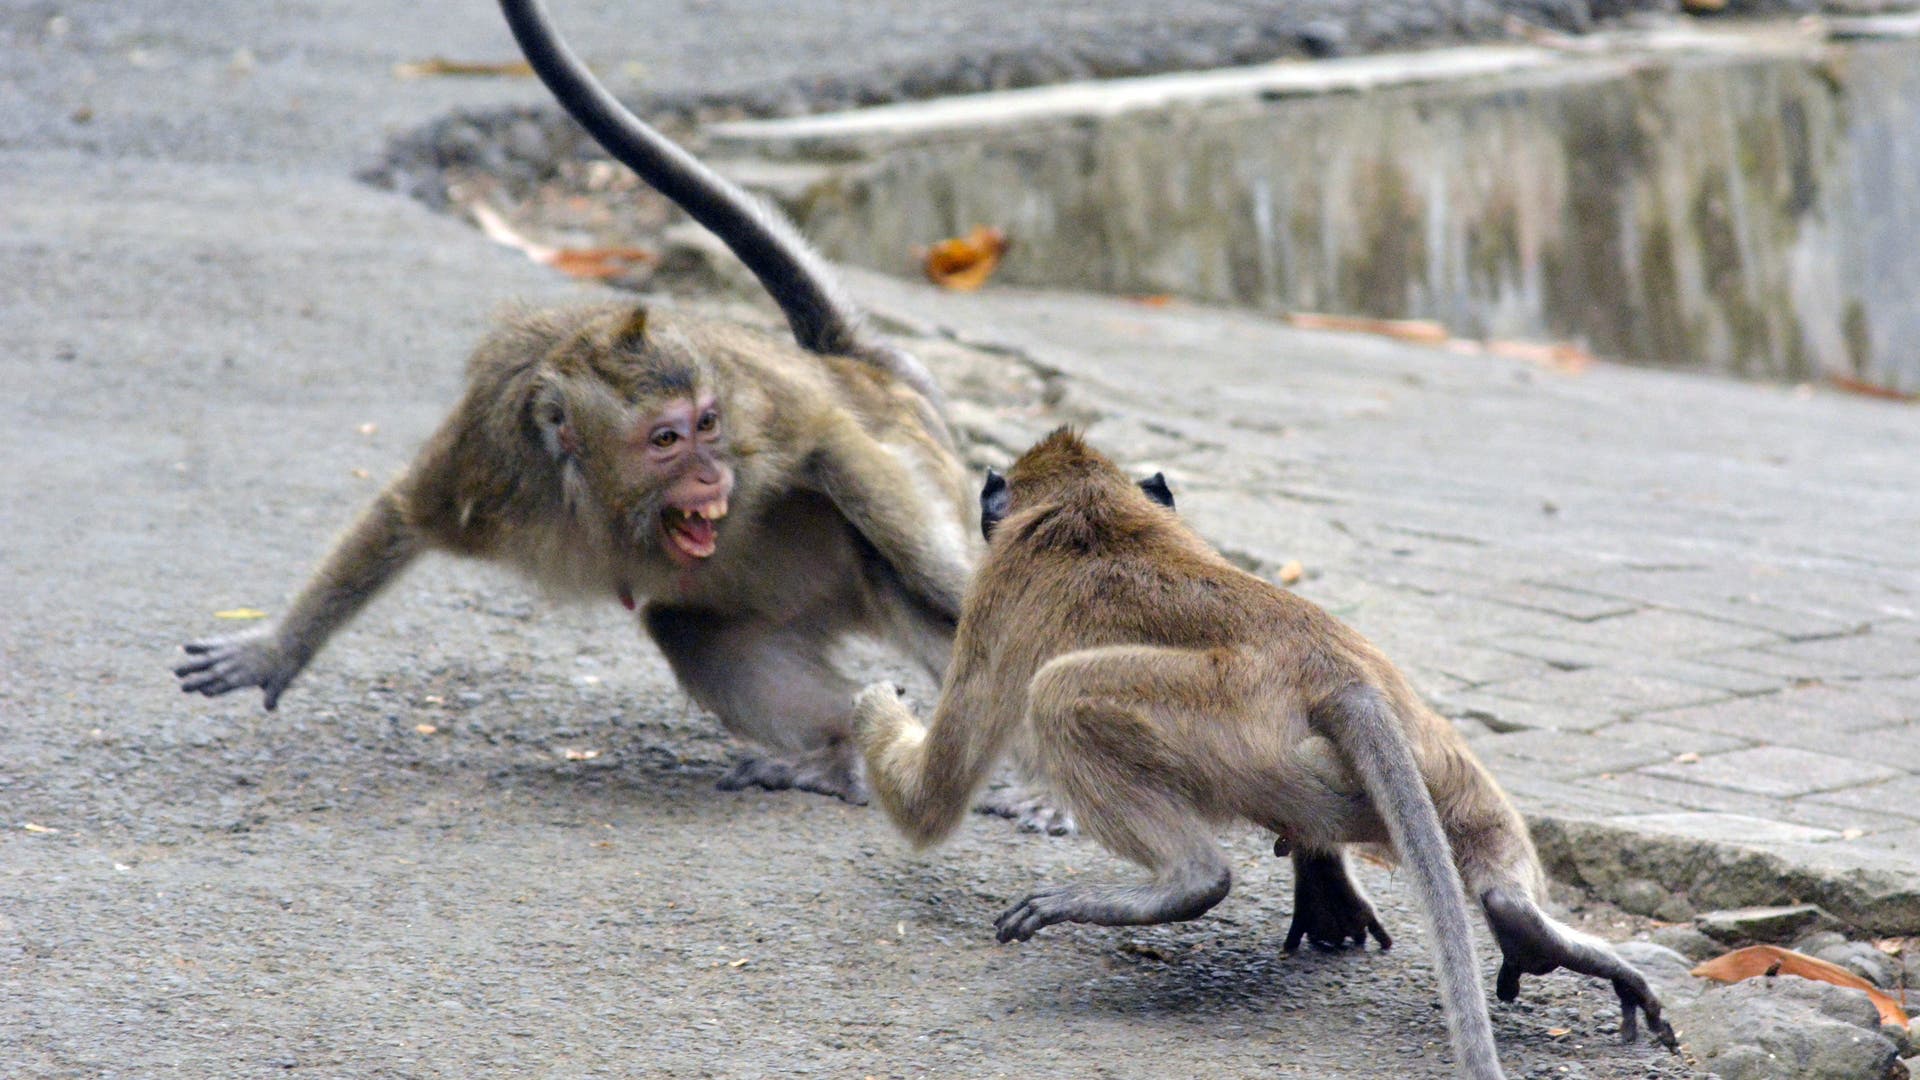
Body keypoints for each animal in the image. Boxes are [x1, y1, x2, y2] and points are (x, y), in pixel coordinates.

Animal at [174, 0, 981, 803]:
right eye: (666, 440)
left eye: (708, 426)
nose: (712, 475)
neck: (599, 501)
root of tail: (859, 363)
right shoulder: (492, 469)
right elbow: (403, 512)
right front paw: (278, 648)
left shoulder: (760, 423)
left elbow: (835, 447)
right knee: (692, 631)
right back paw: (839, 753)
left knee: (890, 558)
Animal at [854, 429, 1675, 1079]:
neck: (1087, 503)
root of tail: (1334, 674)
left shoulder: (993, 597)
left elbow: (932, 799)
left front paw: (875, 706)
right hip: (1424, 752)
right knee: (1480, 844)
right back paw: (1519, 920)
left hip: (1221, 715)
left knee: (1061, 693)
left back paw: (1187, 880)